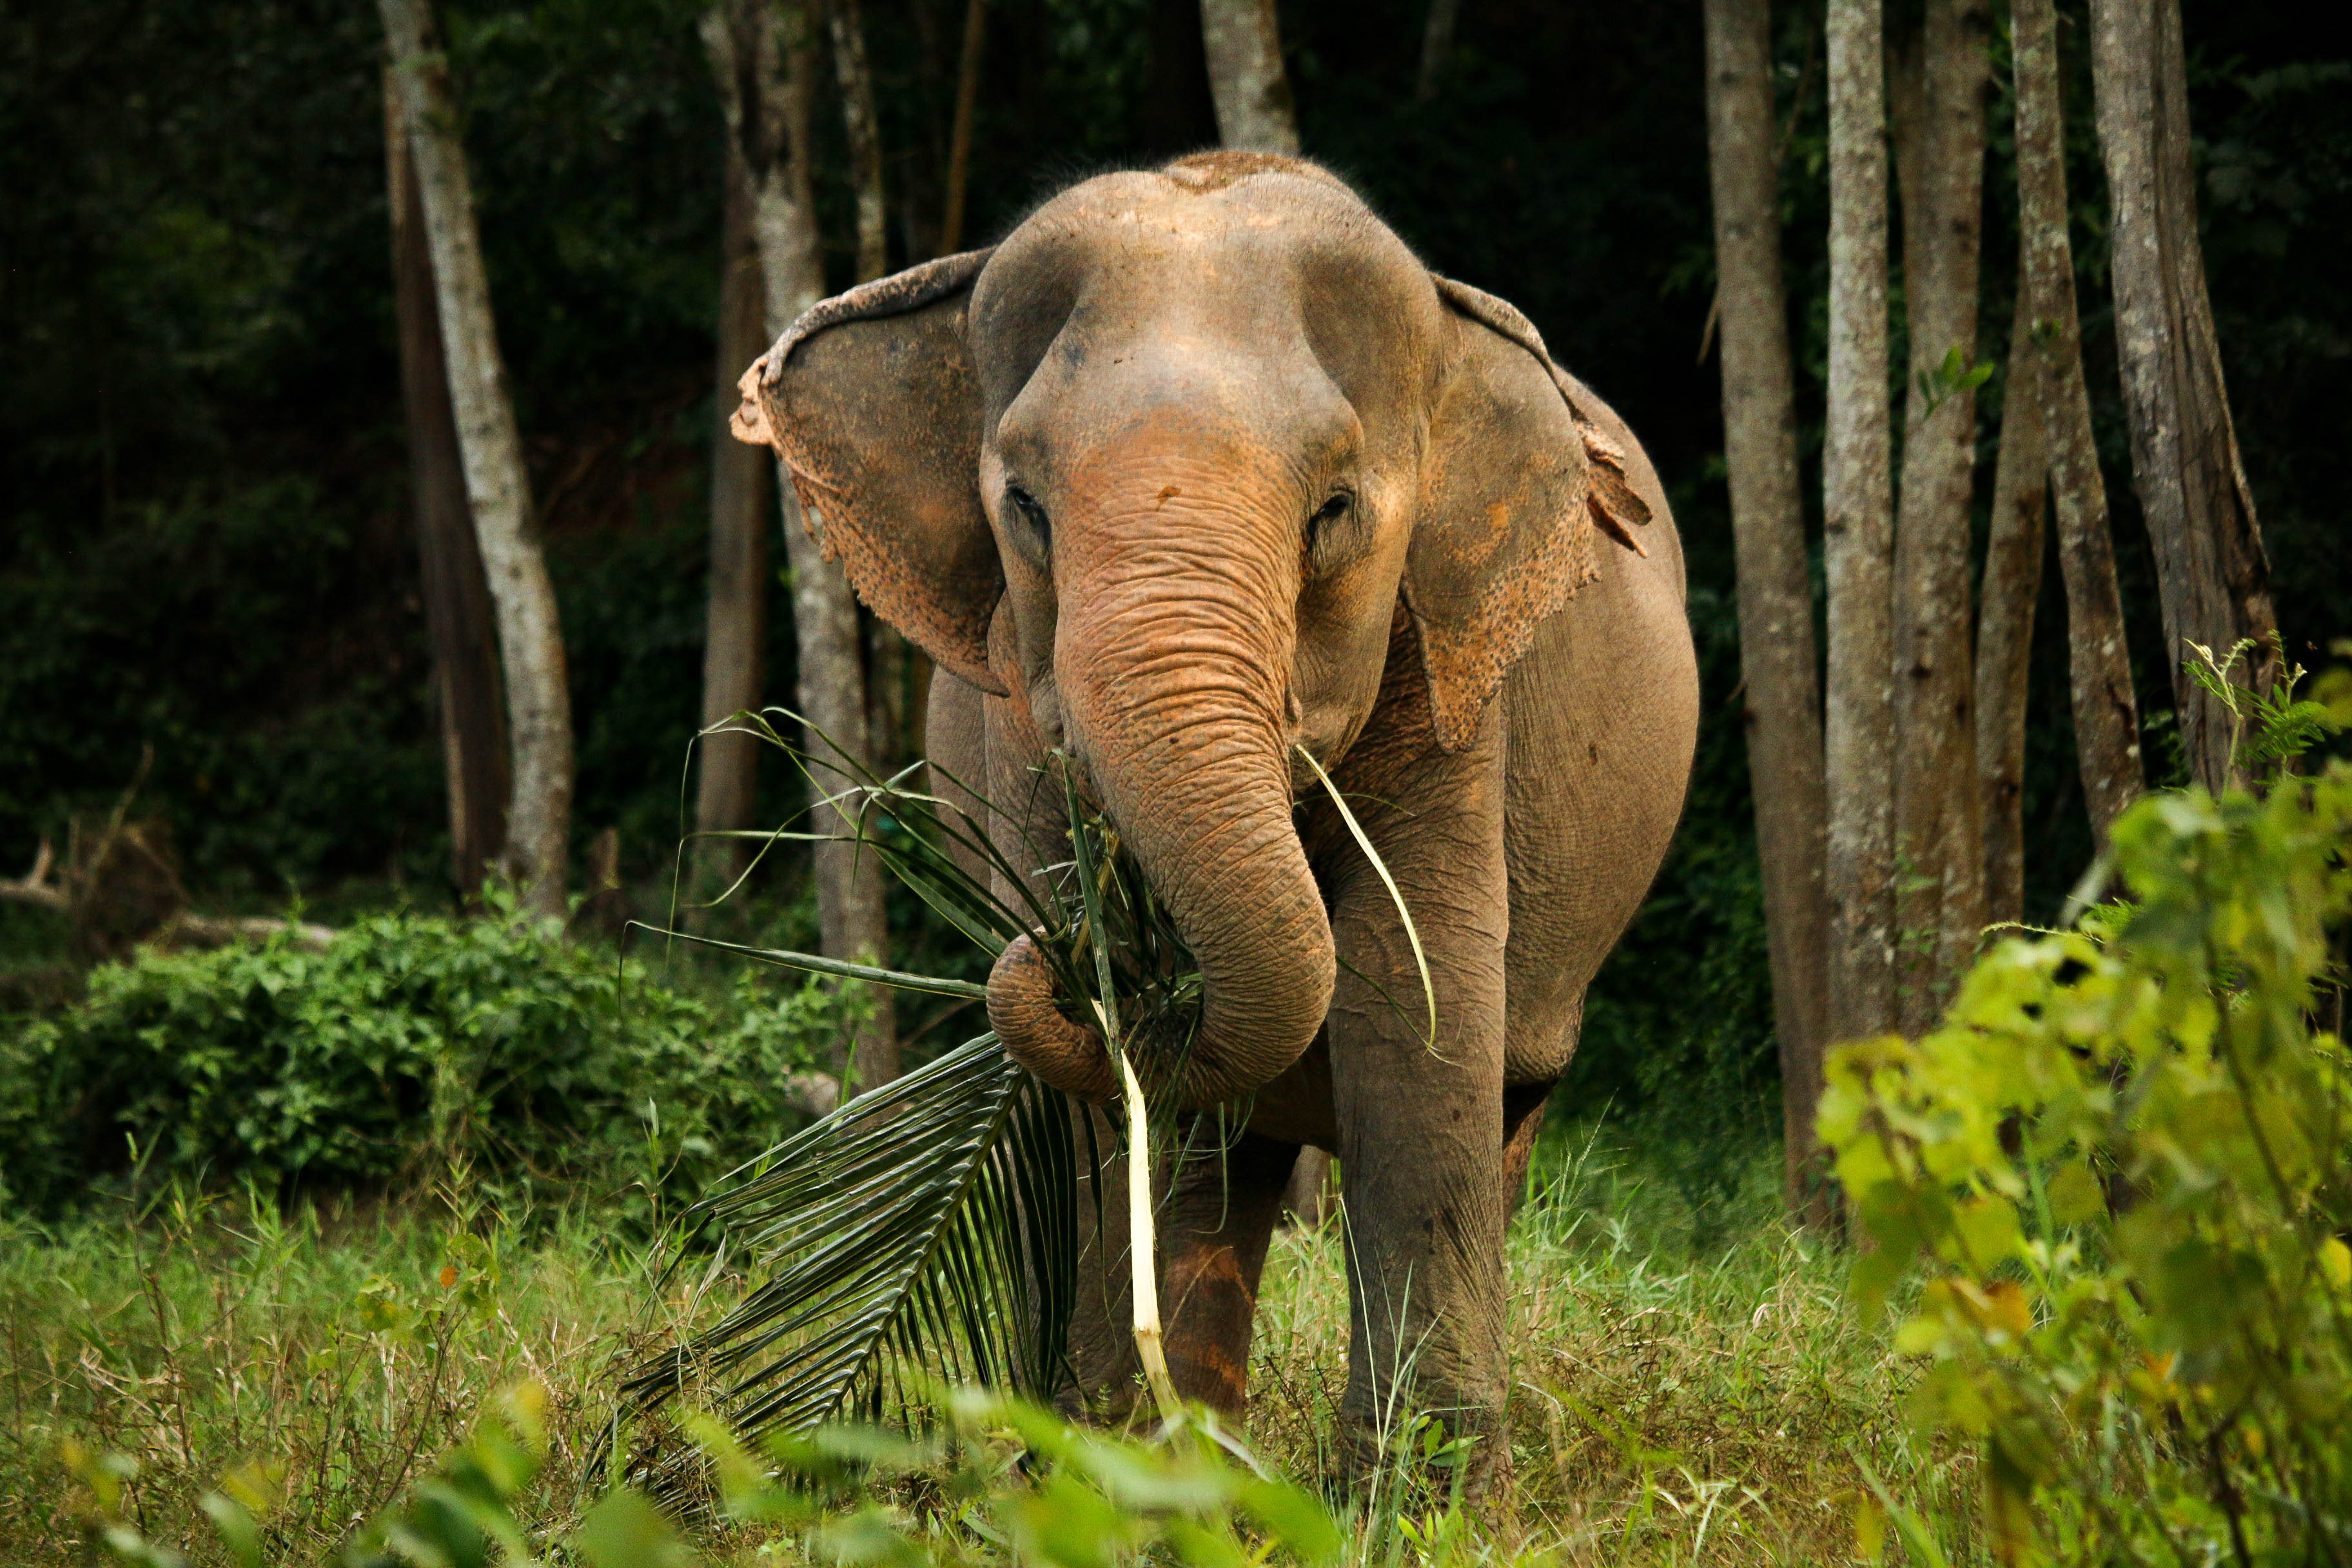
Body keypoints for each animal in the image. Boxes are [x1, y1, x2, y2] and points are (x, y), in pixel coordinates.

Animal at [732, 150, 1698, 1482]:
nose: (1054, 956)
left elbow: (1412, 1001)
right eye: (1024, 506)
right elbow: (1145, 1080)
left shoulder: (1452, 689)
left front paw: (1420, 1493)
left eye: (1332, 511)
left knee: (1502, 1102)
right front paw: (1115, 1465)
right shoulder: (1015, 723)